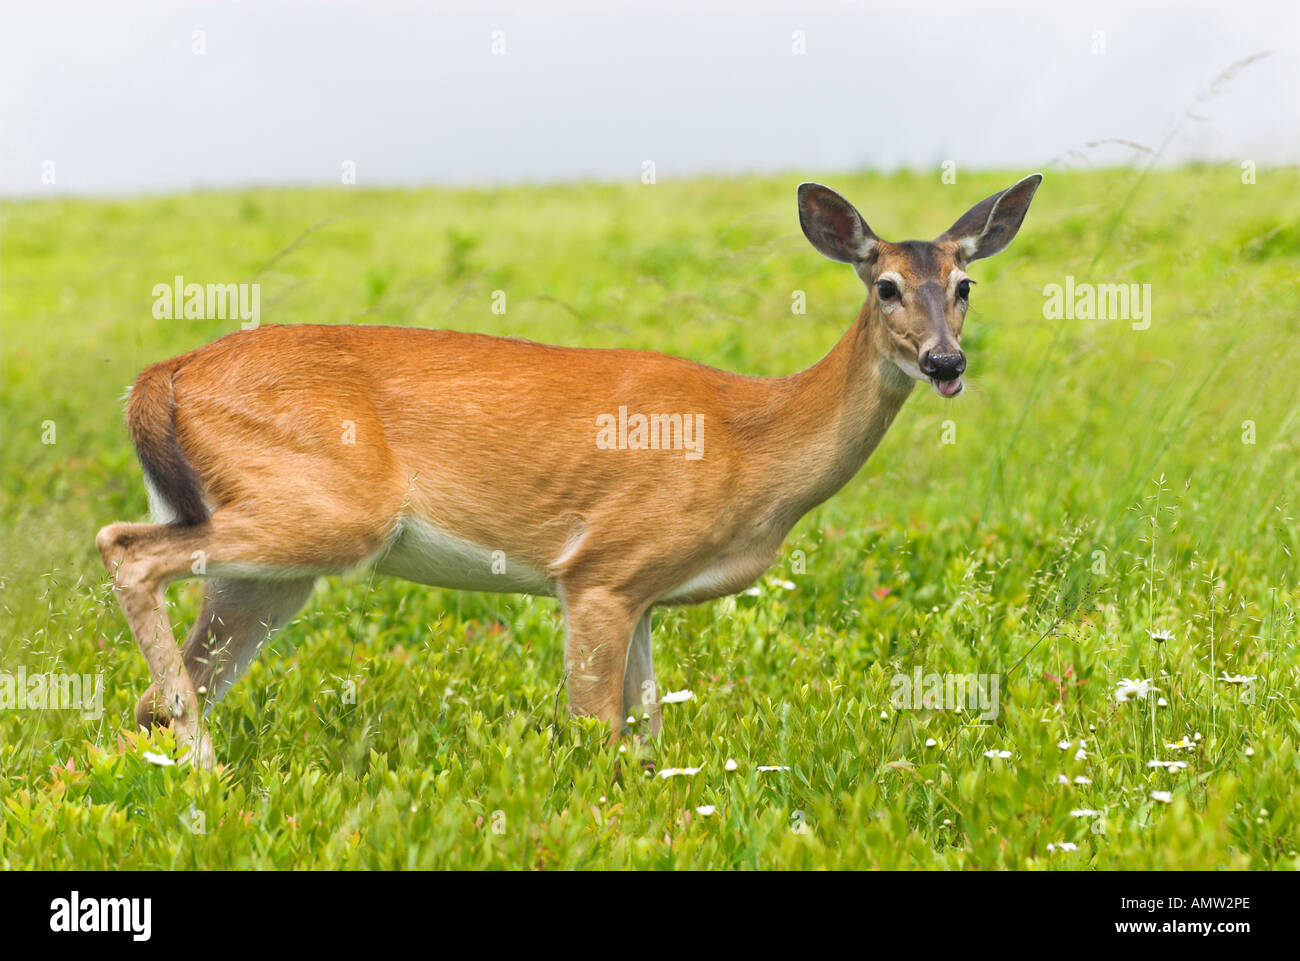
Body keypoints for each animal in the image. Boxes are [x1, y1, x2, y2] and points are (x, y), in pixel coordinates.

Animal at [96, 174, 1042, 767]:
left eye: (965, 284)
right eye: (885, 285)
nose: (946, 362)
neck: (752, 442)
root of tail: (162, 376)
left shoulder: (646, 591)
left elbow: (649, 734)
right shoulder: (600, 569)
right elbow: (597, 731)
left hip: (270, 568)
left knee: (157, 689)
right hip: (328, 510)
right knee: (125, 548)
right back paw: (206, 766)